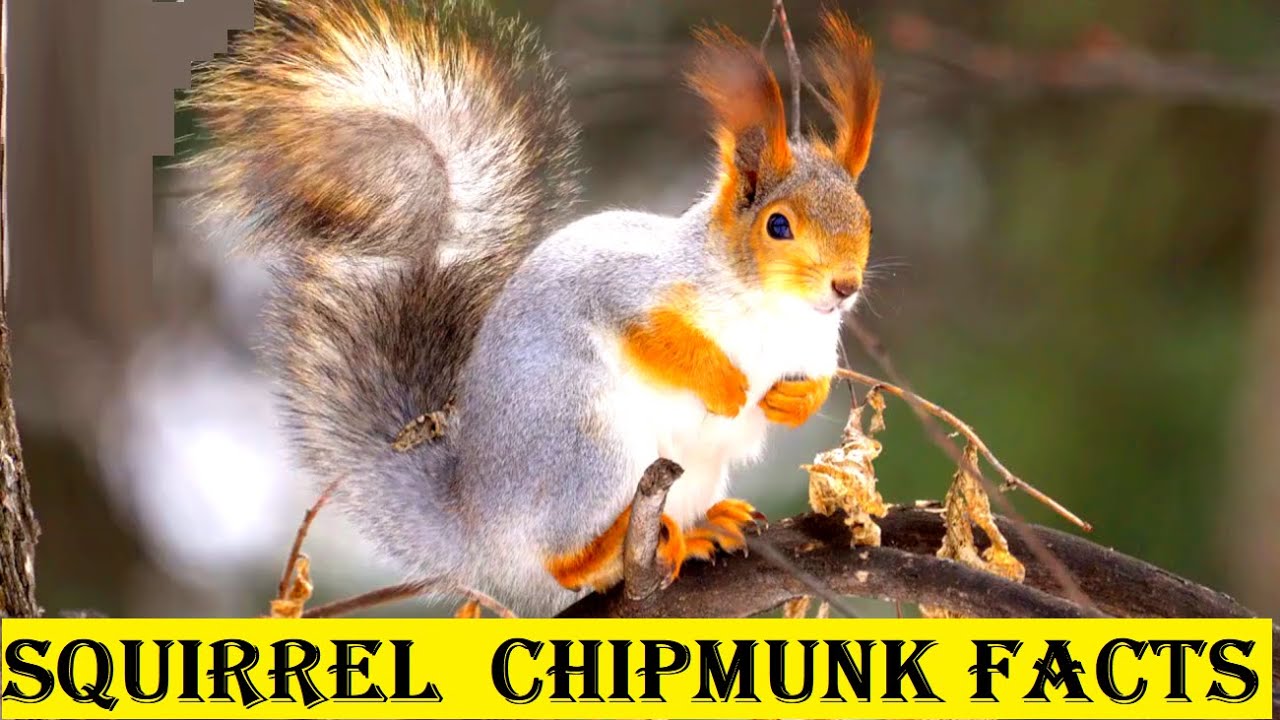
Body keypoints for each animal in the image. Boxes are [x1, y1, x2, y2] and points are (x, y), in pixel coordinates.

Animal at [186, 0, 880, 616]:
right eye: (778, 225)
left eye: (863, 216)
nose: (845, 286)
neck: (773, 311)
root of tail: (480, 524)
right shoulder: (626, 286)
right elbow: (648, 333)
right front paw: (723, 381)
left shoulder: (814, 345)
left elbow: (815, 382)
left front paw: (792, 401)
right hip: (587, 445)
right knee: (561, 561)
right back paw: (611, 546)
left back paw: (706, 525)